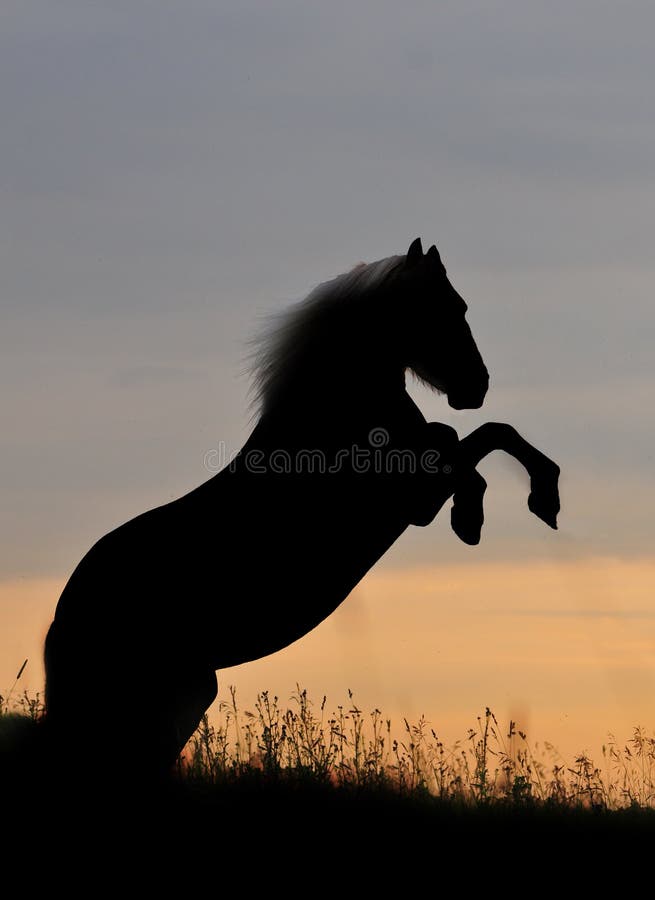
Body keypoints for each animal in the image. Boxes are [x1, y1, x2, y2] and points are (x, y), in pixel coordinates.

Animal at [43, 238, 560, 776]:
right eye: (450, 307)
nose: (477, 387)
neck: (332, 414)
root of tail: (64, 619)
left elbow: (481, 436)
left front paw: (527, 504)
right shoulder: (416, 496)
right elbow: (483, 442)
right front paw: (499, 510)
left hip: (181, 697)